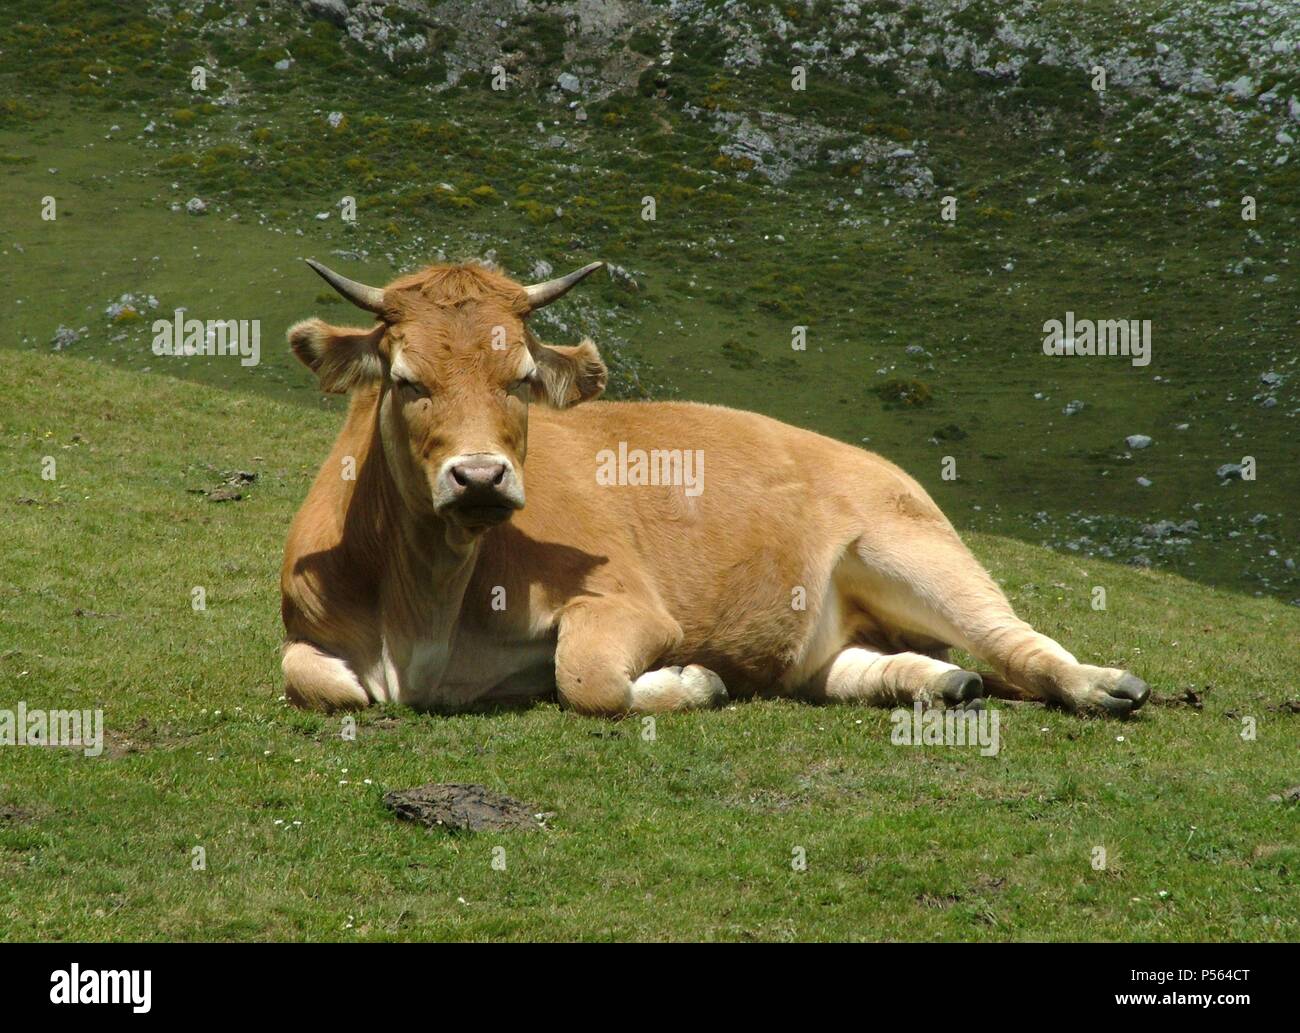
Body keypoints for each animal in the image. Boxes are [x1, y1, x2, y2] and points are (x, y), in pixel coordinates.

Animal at [280, 259, 1151, 718]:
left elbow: (588, 678)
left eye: (521, 378)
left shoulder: (631, 605)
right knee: (871, 665)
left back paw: (1105, 684)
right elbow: (325, 683)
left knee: (1013, 637)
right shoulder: (307, 631)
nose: (481, 476)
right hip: (820, 643)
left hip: (913, 546)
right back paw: (941, 682)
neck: (422, 608)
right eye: (405, 381)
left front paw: (692, 679)